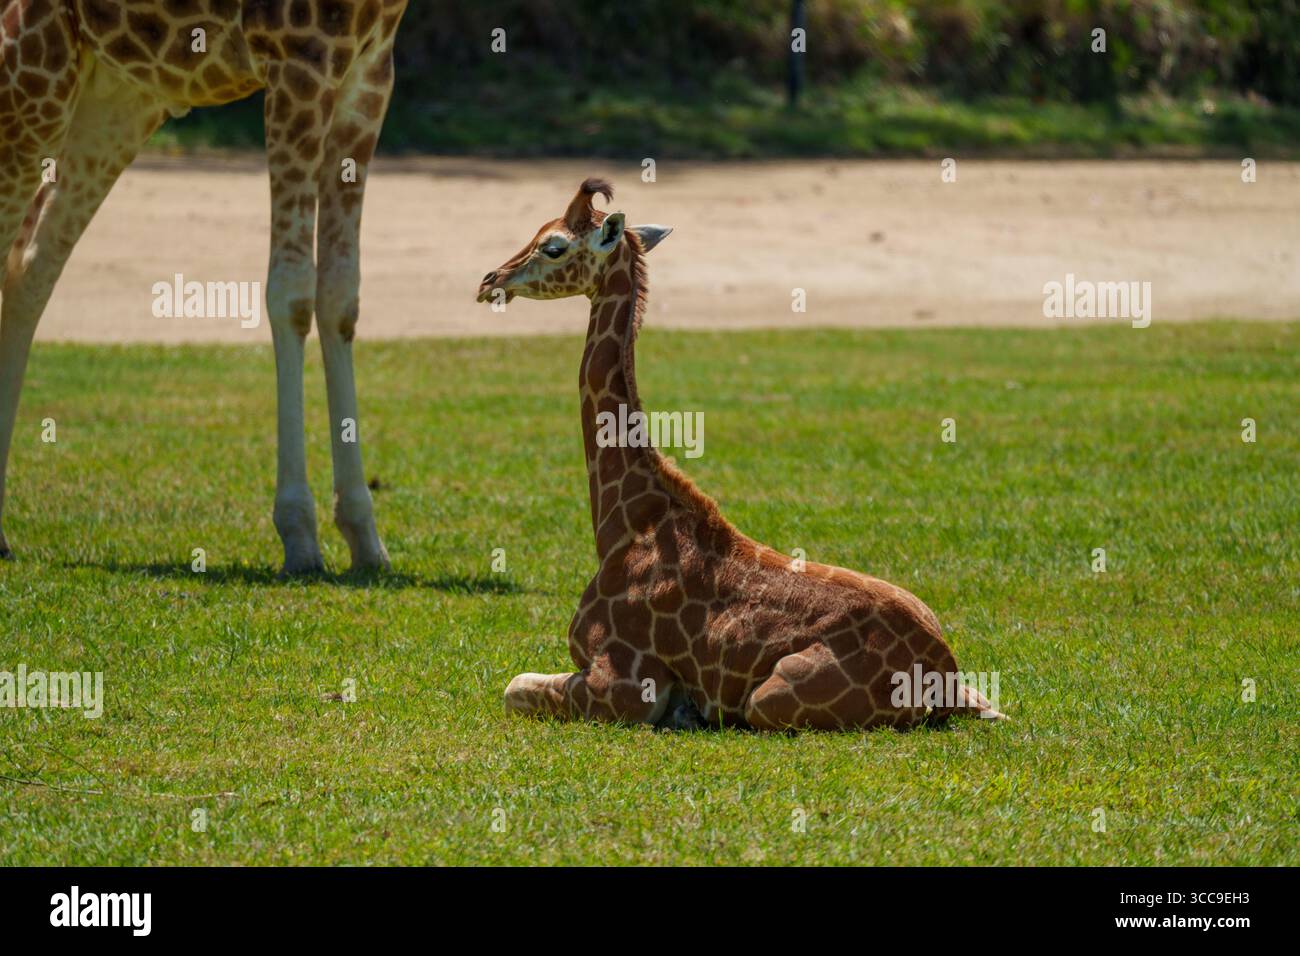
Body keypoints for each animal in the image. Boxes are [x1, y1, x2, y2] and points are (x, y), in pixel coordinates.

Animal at [0, 0, 407, 573]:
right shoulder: (297, 58)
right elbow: (291, 291)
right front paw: (299, 537)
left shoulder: (368, 71)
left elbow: (340, 295)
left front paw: (366, 540)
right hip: (31, 79)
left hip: (114, 95)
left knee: (31, 265)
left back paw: (1, 535)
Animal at [477, 178, 1006, 731]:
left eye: (554, 245)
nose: (491, 280)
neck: (626, 524)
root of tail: (945, 675)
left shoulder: (625, 684)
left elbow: (513, 687)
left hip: (769, 699)